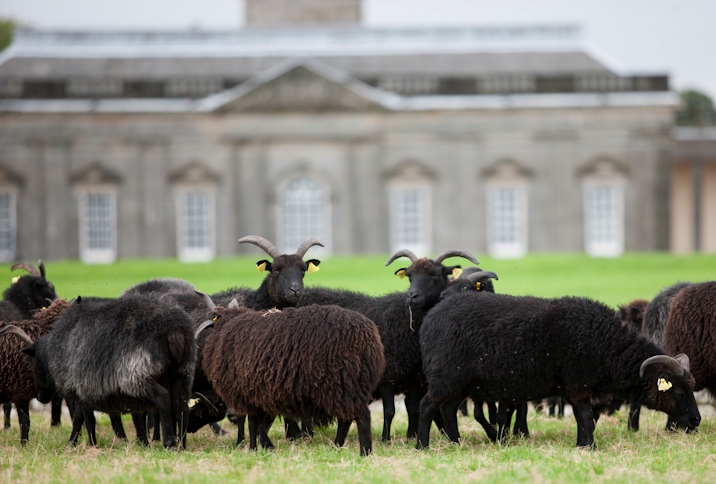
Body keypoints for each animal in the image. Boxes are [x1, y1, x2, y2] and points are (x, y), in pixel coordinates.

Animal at [200, 299, 385, 456]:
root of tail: (366, 335)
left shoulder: (247, 394)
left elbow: (253, 424)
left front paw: (254, 449)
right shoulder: (257, 394)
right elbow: (258, 423)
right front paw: (263, 447)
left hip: (342, 381)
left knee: (362, 416)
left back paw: (364, 452)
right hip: (349, 385)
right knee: (346, 419)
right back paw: (336, 447)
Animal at [296, 248, 480, 441]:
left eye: (435, 274)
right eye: (409, 276)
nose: (412, 296)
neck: (407, 321)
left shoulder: (413, 377)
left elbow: (412, 408)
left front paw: (411, 436)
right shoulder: (386, 375)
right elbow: (389, 411)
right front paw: (386, 438)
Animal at [416, 291, 701, 449]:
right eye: (677, 390)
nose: (697, 419)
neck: (607, 347)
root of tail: (429, 320)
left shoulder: (573, 388)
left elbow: (581, 418)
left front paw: (581, 445)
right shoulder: (578, 383)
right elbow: (586, 417)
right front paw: (592, 447)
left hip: (457, 383)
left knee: (448, 411)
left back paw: (456, 443)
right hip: (445, 376)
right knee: (426, 407)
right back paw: (423, 446)